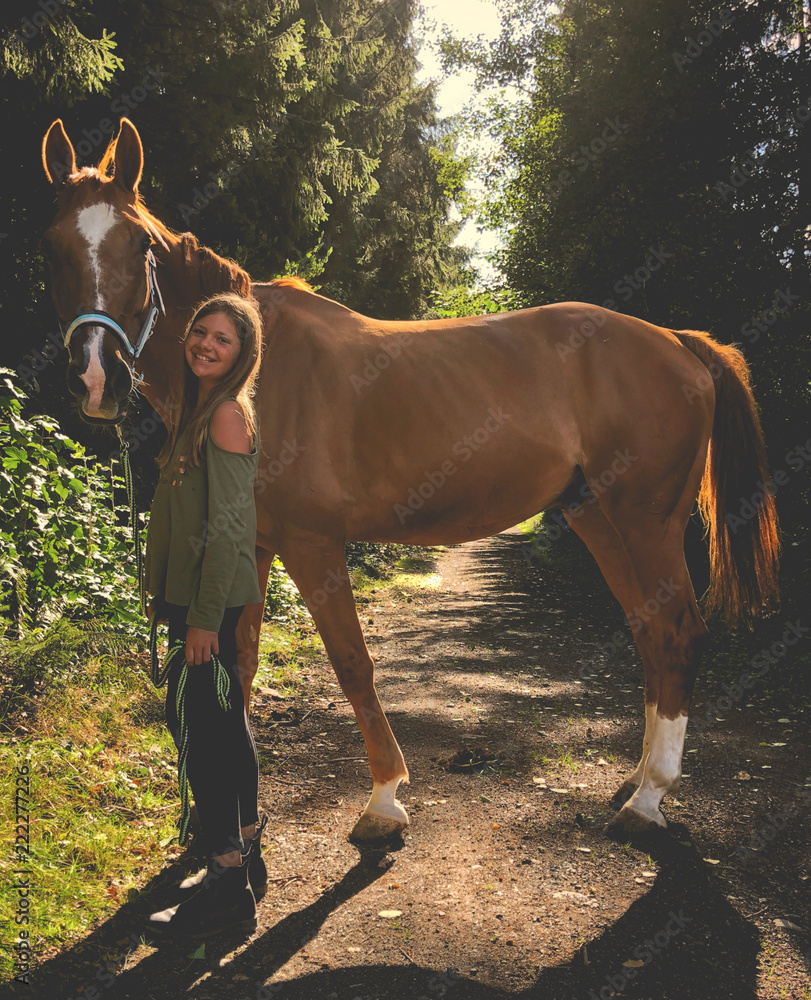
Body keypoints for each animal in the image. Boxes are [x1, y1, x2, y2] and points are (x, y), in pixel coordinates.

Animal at [40, 117, 779, 842]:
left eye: (138, 243)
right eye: (55, 247)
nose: (96, 377)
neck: (253, 371)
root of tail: (678, 342)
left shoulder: (312, 544)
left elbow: (352, 662)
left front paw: (384, 799)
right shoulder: (251, 545)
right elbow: (239, 664)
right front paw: (238, 818)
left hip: (645, 523)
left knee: (677, 632)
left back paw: (649, 798)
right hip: (597, 517)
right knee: (650, 631)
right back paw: (635, 783)